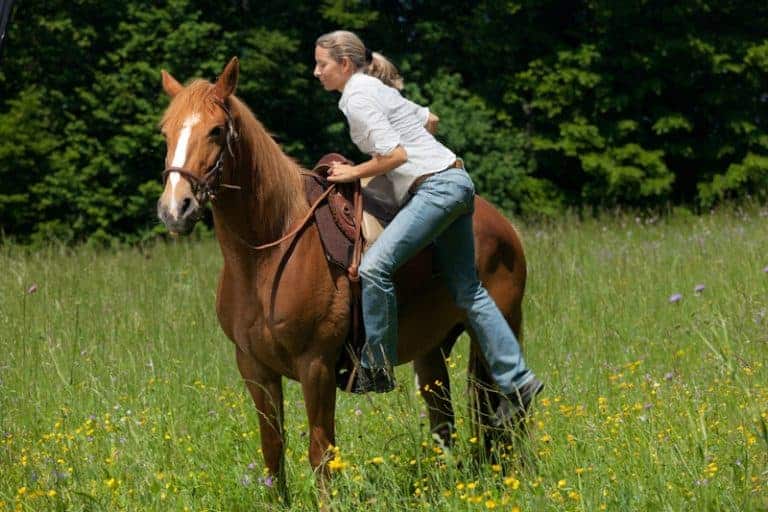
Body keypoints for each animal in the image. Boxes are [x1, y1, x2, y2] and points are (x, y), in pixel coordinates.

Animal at [156, 57, 528, 501]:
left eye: (215, 130)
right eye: (165, 131)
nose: (175, 208)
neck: (268, 253)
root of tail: (503, 226)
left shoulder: (316, 365)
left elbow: (321, 450)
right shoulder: (253, 367)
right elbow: (272, 447)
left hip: (503, 325)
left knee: (510, 404)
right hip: (432, 352)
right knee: (445, 422)